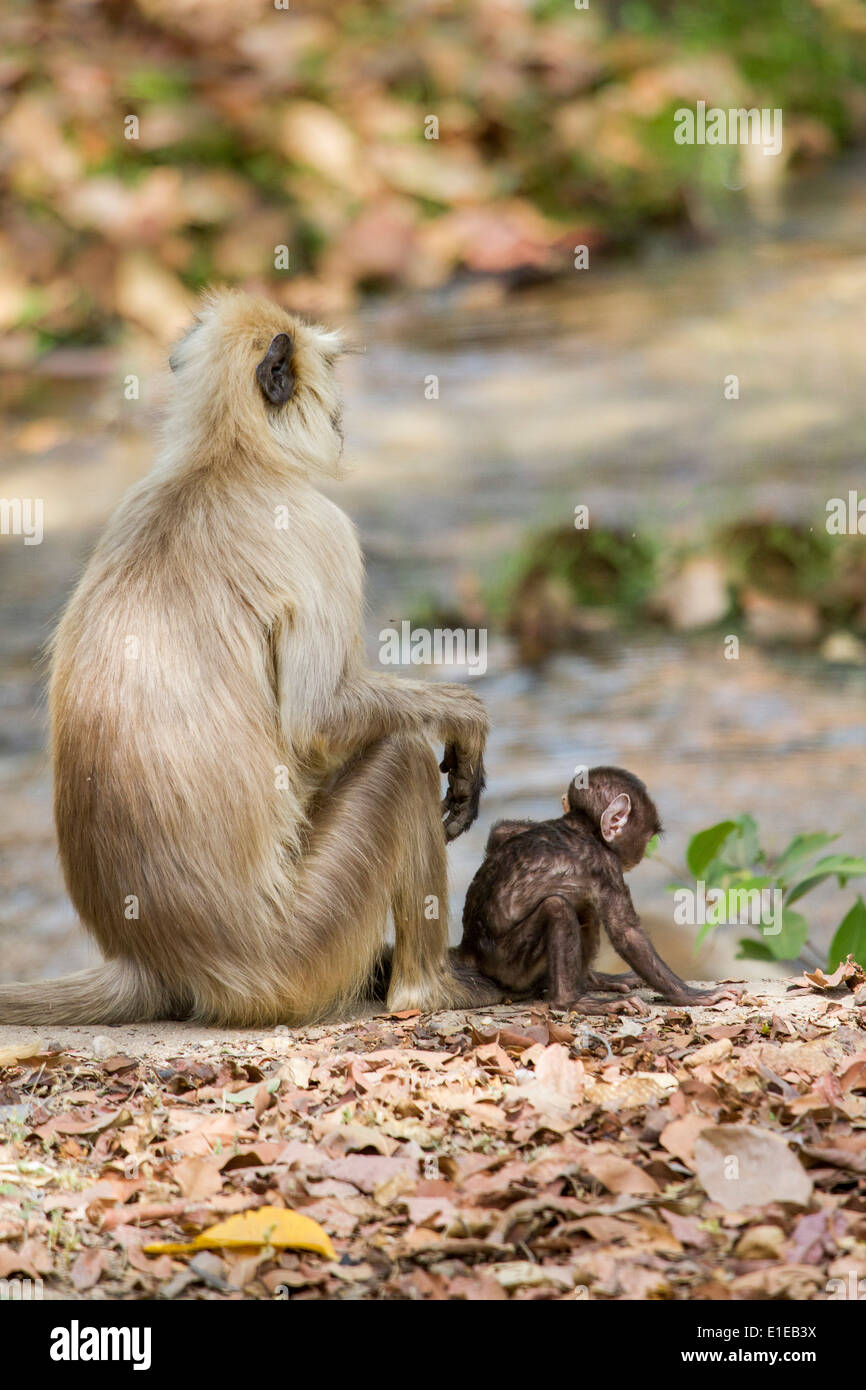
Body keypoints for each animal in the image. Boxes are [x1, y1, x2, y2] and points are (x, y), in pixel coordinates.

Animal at [0, 290, 493, 1028]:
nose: (342, 413)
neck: (223, 455)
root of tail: (156, 960)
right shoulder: (324, 530)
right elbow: (317, 721)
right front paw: (465, 719)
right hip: (298, 952)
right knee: (400, 757)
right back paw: (425, 990)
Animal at [453, 766, 744, 1014]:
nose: (642, 852)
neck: (583, 828)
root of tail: (469, 949)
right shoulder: (607, 866)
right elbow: (626, 933)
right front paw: (694, 995)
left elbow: (503, 831)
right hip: (508, 966)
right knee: (557, 908)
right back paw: (571, 1001)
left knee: (584, 910)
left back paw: (592, 981)